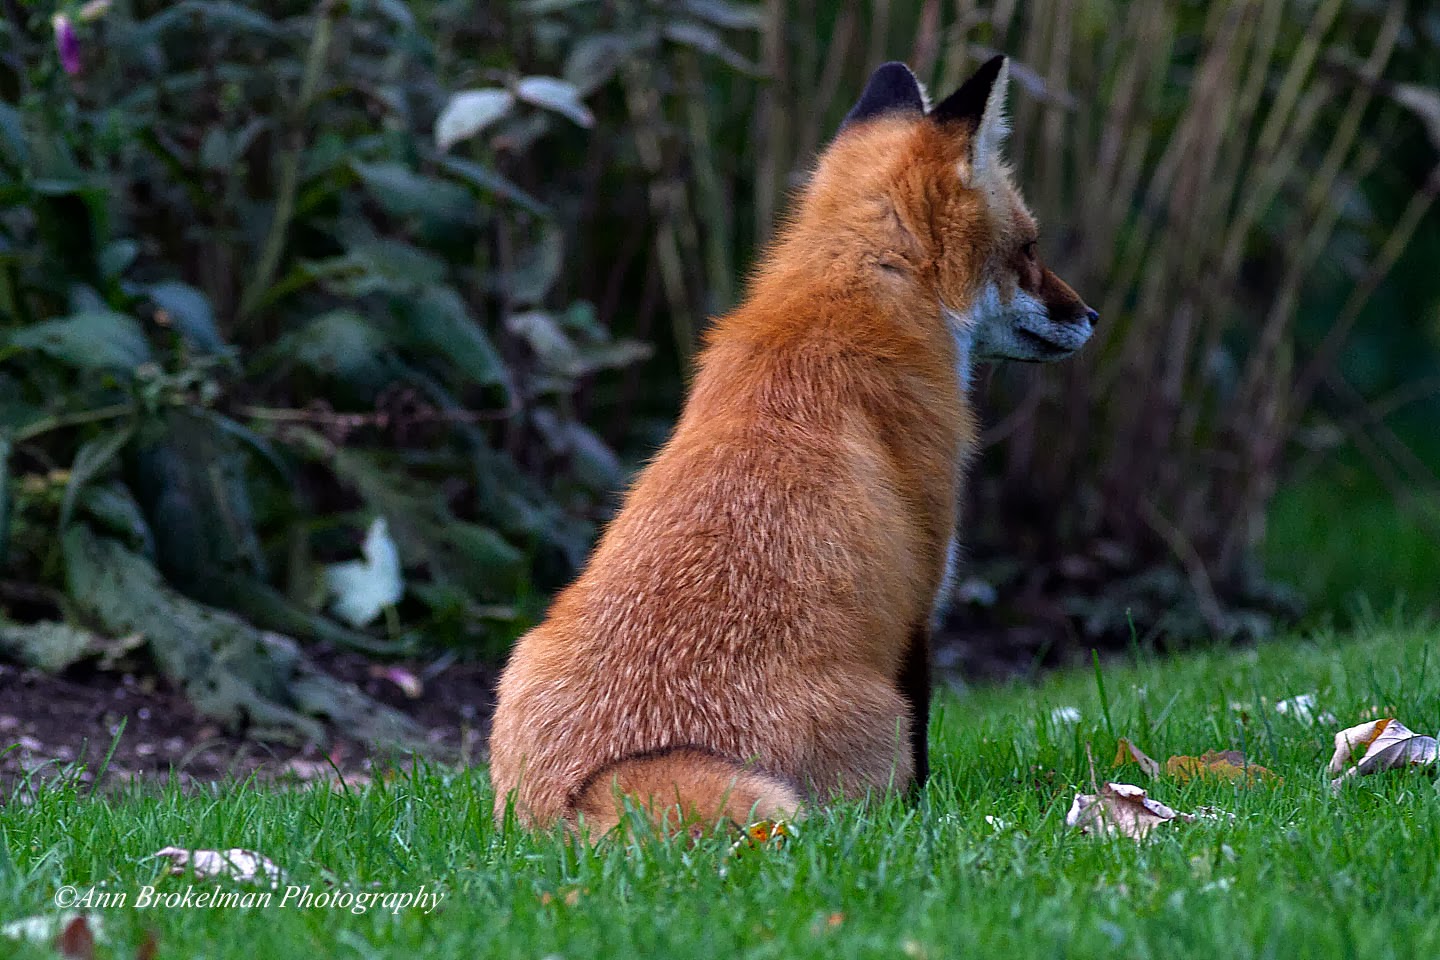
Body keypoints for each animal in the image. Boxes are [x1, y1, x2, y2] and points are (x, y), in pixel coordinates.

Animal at [488, 56, 1096, 835]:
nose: (1090, 315)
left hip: (519, 661)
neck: (844, 292)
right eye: (1028, 249)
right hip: (872, 728)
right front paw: (927, 814)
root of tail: (577, 810)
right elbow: (926, 728)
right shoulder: (919, 594)